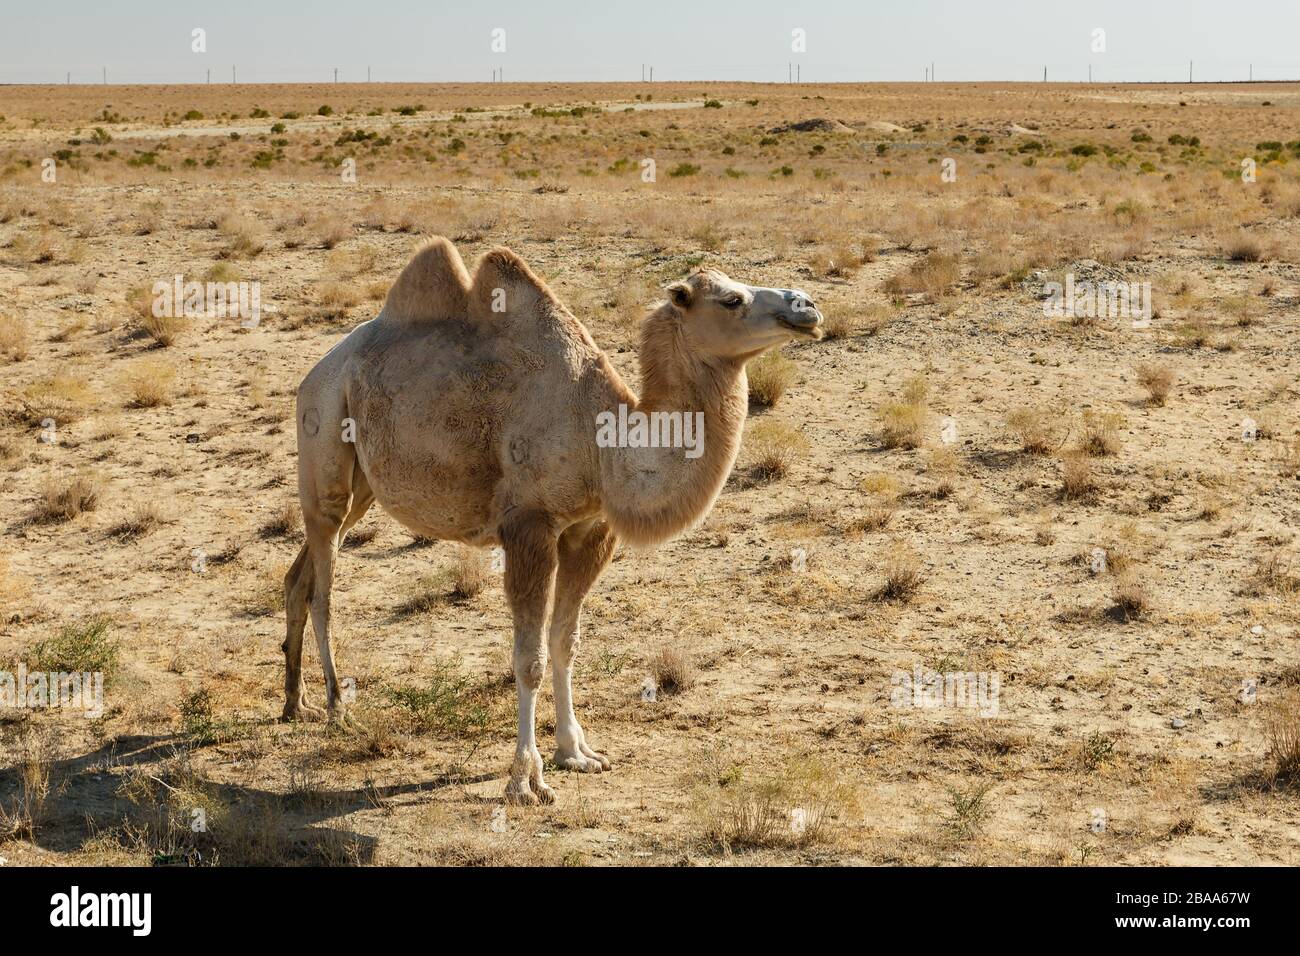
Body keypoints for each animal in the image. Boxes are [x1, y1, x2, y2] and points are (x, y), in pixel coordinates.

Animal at [283, 237, 824, 804]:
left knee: (301, 573)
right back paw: (337, 708)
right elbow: (531, 658)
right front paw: (526, 779)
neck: (604, 443)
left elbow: (566, 643)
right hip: (324, 435)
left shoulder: (589, 529)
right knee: (324, 585)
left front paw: (577, 752)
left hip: (363, 483)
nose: (806, 306)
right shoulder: (529, 526)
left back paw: (295, 703)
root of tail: (317, 370)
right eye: (731, 300)